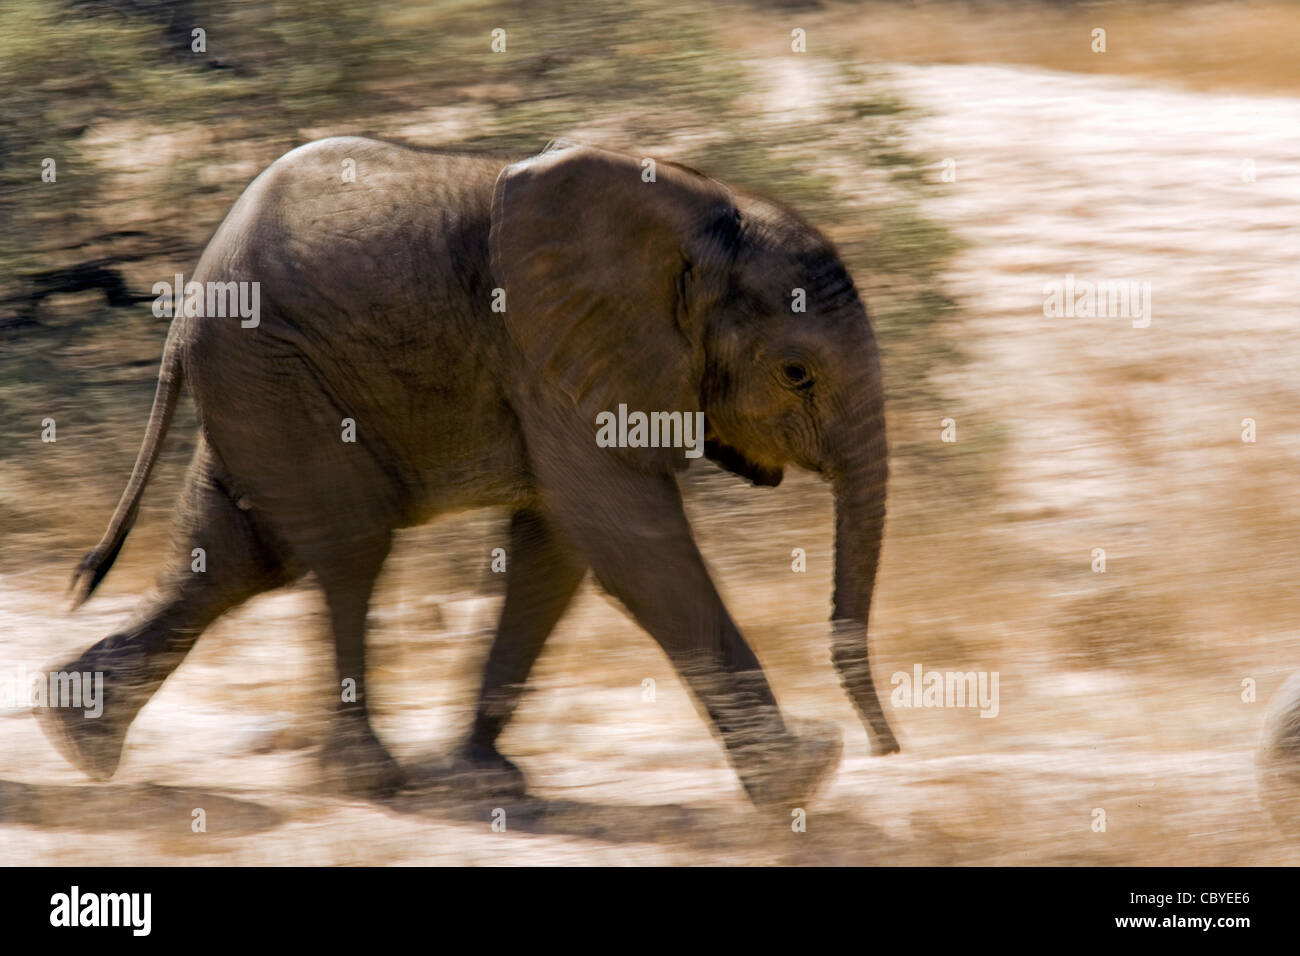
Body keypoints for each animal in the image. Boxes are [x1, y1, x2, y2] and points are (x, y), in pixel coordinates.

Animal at [38, 136, 899, 807]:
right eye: (796, 374)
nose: (886, 751)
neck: (698, 218)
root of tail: (185, 304)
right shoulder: (550, 349)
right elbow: (631, 542)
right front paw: (804, 776)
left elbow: (559, 548)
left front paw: (483, 780)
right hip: (270, 370)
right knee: (347, 549)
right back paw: (367, 779)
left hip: (255, 380)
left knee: (234, 556)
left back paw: (75, 733)